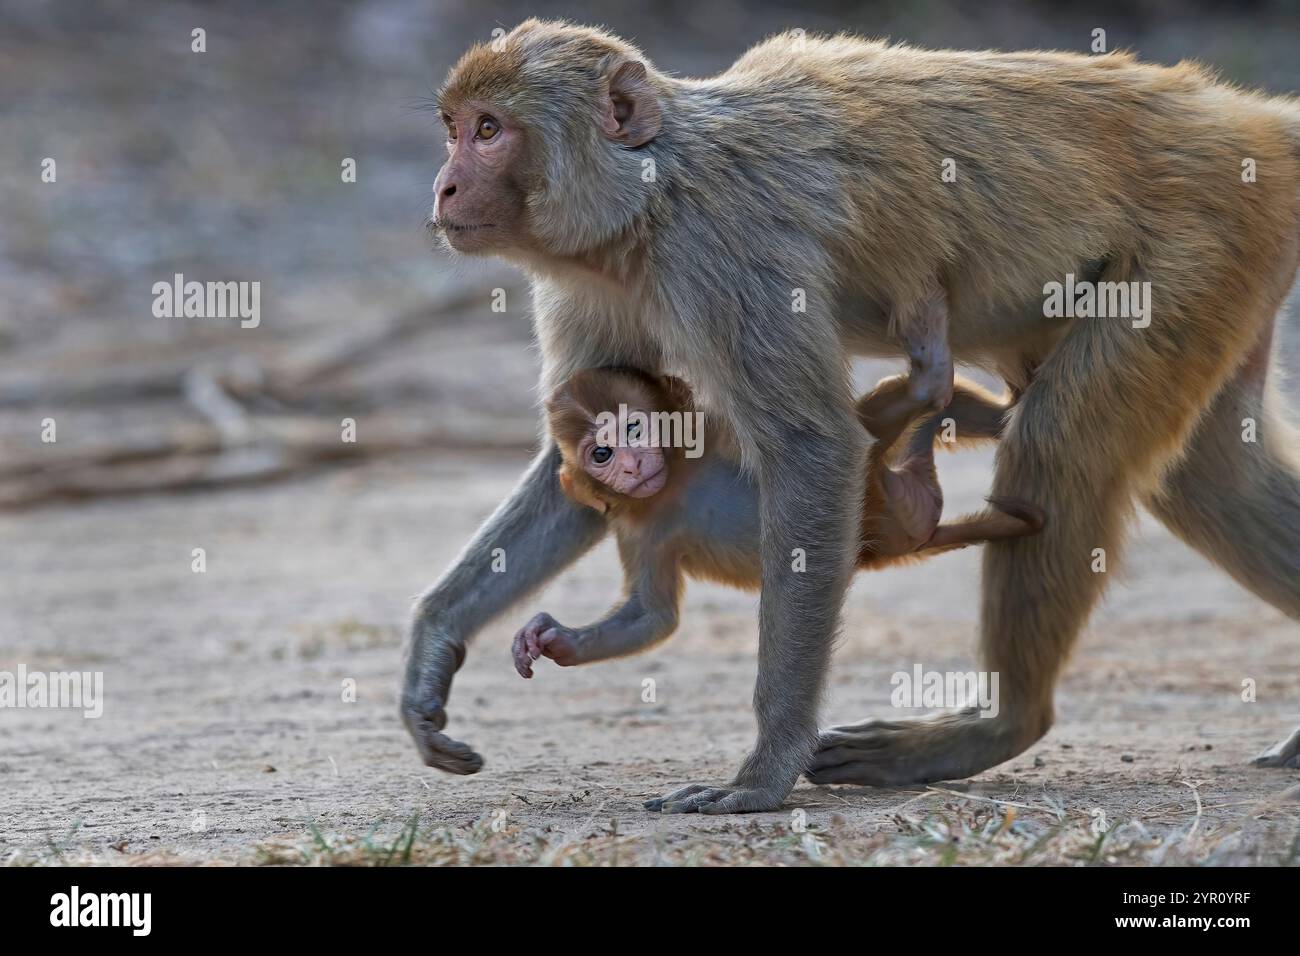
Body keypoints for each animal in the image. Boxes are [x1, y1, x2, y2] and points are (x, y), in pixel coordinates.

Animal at [510, 366, 1041, 680]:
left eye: (635, 428)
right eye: (601, 454)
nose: (631, 465)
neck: (678, 480)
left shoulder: (717, 427)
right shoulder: (636, 528)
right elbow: (653, 615)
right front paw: (555, 640)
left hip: (881, 494)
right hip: (897, 500)